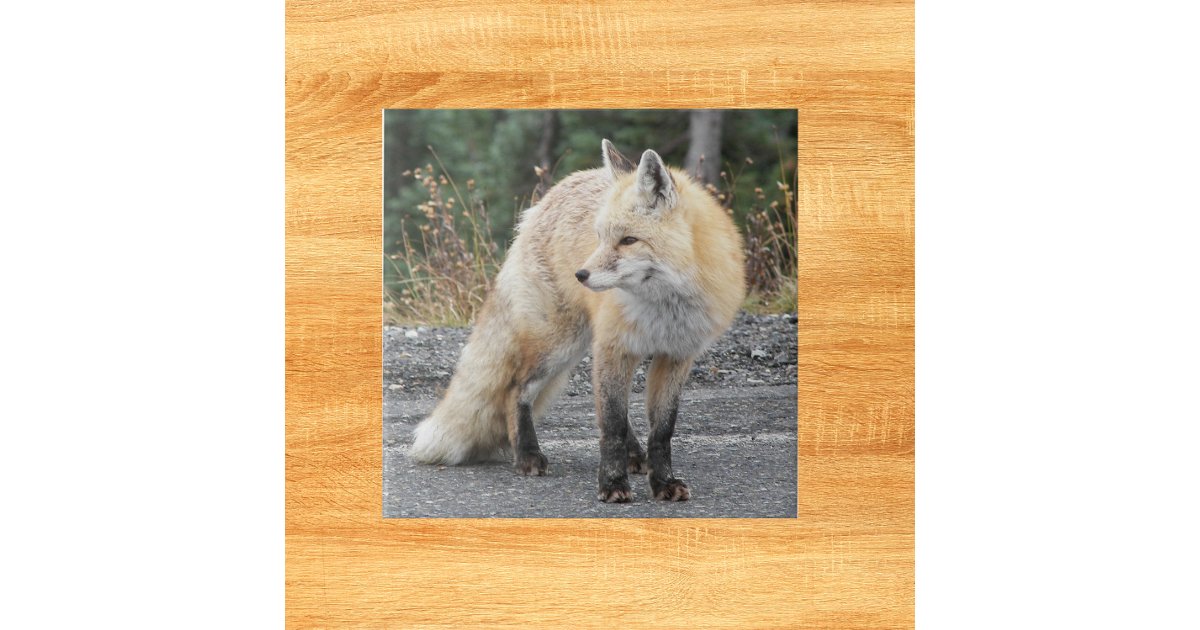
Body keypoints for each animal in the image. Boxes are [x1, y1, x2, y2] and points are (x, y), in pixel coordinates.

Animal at [408, 139, 746, 503]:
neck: (664, 307)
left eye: (628, 240)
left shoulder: (676, 356)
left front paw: (663, 482)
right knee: (515, 389)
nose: (580, 275)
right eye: (600, 237)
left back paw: (634, 456)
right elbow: (611, 425)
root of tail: (550, 194)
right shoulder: (614, 347)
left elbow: (661, 430)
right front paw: (612, 484)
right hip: (559, 344)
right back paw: (527, 455)